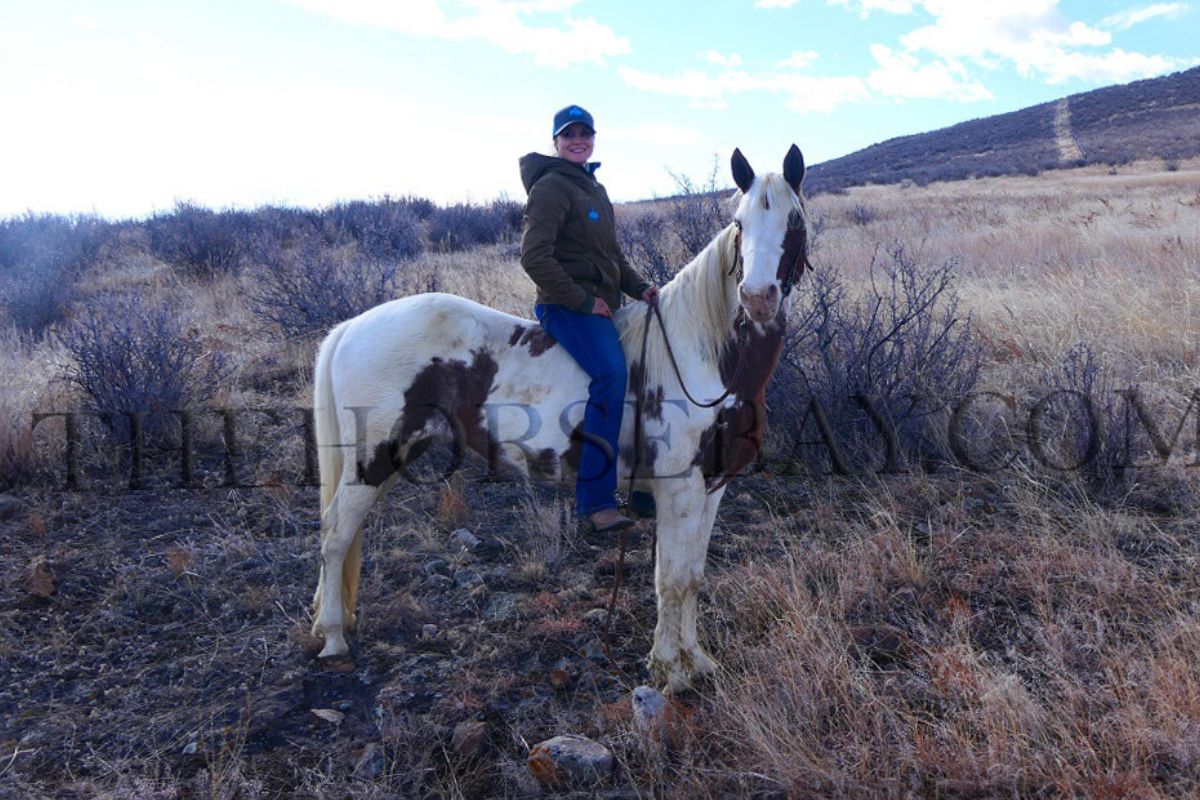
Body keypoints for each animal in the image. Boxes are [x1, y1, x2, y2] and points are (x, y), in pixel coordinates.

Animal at [310, 145, 810, 691]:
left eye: (795, 220)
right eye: (739, 223)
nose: (757, 298)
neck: (705, 354)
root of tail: (353, 326)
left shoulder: (712, 486)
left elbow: (694, 575)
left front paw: (695, 661)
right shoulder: (678, 489)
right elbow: (672, 578)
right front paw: (669, 670)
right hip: (372, 459)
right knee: (335, 535)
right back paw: (333, 639)